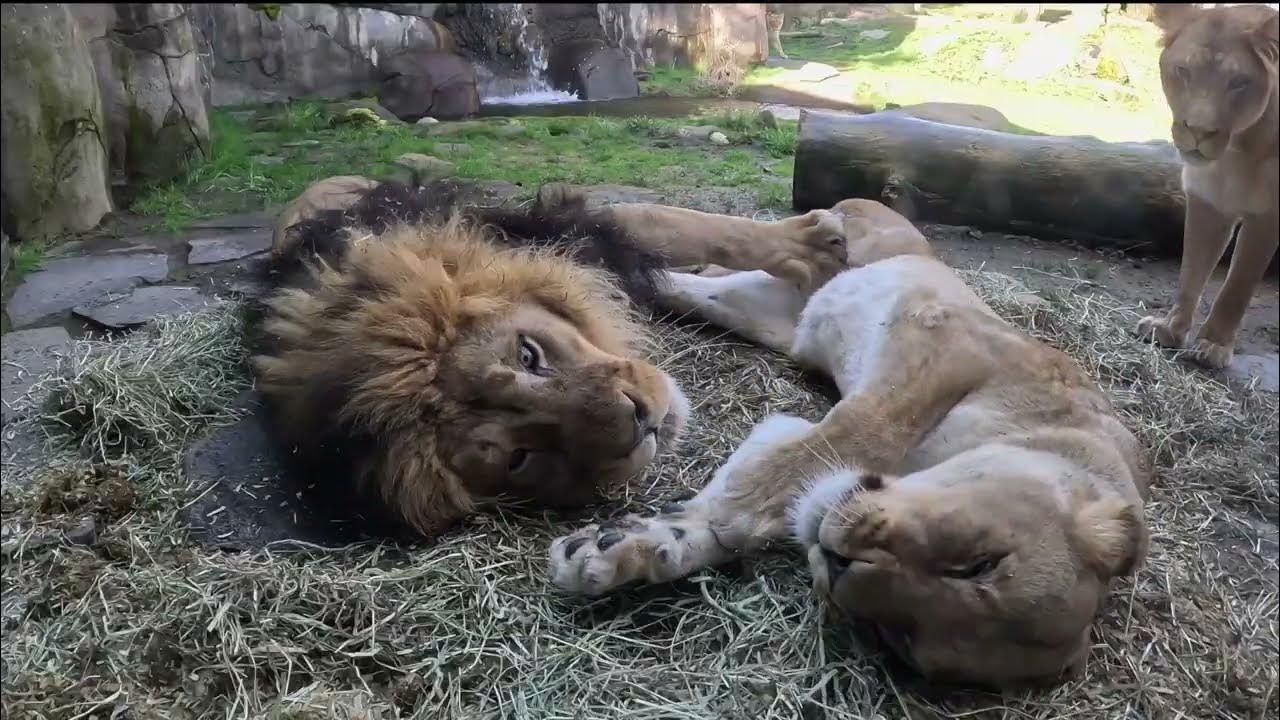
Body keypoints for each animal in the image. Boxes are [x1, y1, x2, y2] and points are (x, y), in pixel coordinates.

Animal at [250, 177, 849, 538]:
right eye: (519, 457)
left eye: (528, 355)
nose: (640, 421)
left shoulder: (553, 227)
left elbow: (668, 219)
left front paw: (814, 243)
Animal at [547, 198, 1151, 689]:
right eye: (980, 564)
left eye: (900, 638)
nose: (836, 558)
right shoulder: (935, 358)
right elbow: (832, 449)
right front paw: (613, 546)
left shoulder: (789, 429)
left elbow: (752, 499)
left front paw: (637, 548)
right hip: (843, 253)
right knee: (734, 231)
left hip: (770, 312)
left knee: (692, 279)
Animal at [1135, 3, 1279, 369]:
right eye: (1183, 70)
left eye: (1239, 82)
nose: (1199, 131)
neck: (1233, 156)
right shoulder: (1207, 201)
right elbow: (1191, 271)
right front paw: (1170, 329)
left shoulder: (1268, 215)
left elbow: (1237, 286)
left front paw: (1213, 345)